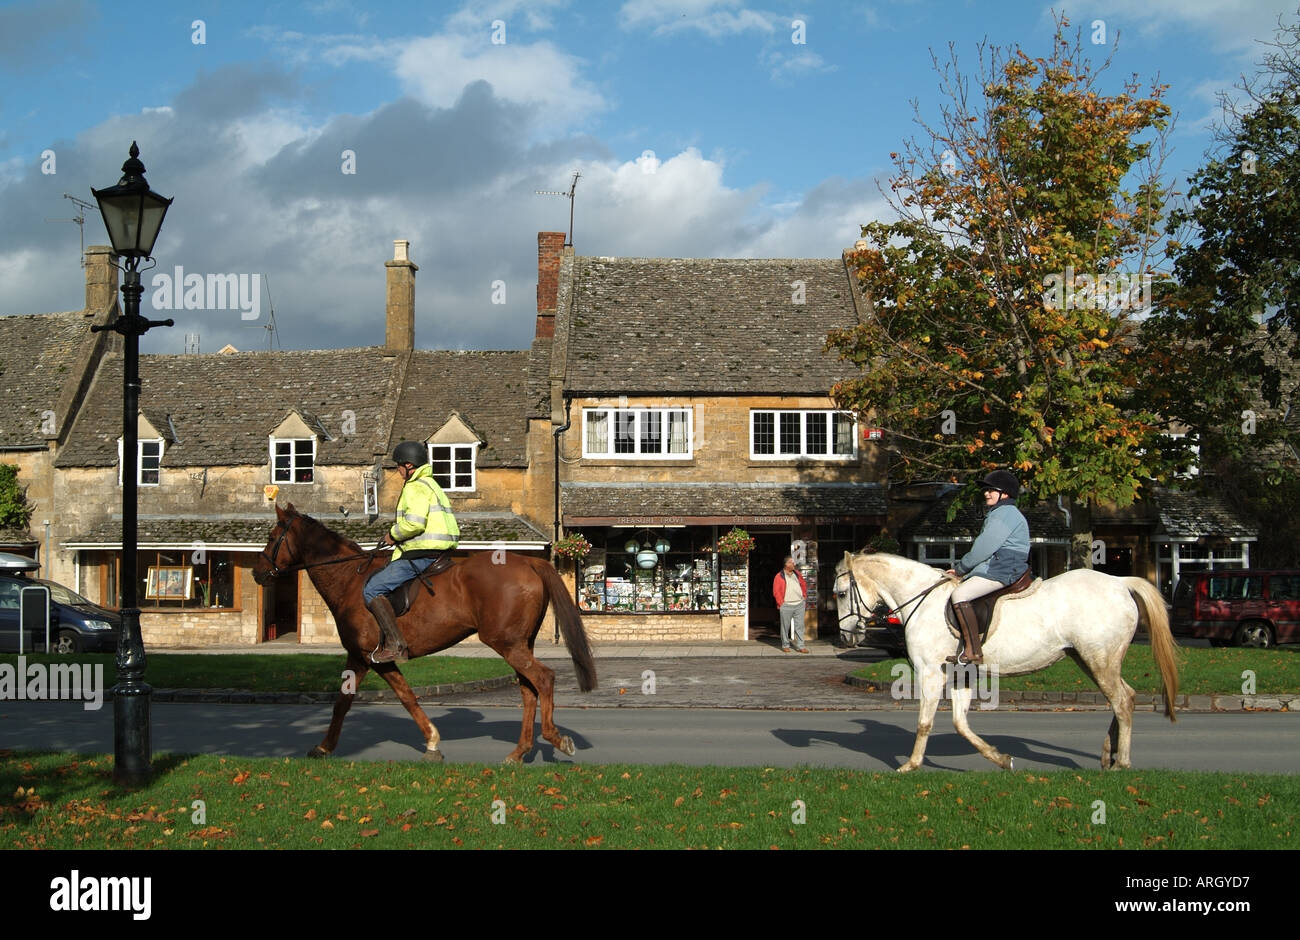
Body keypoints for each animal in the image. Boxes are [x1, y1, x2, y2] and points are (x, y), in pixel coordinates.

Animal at [251, 504, 597, 764]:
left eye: (272, 536)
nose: (257, 572)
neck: (349, 578)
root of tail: (527, 563)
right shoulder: (373, 659)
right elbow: (397, 697)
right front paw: (431, 741)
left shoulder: (365, 658)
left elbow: (351, 702)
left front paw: (324, 747)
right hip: (519, 644)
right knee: (528, 689)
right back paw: (519, 752)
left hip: (507, 644)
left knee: (544, 679)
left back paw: (554, 738)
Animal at [833, 551, 1179, 772]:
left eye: (840, 593)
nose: (846, 637)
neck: (923, 599)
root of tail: (1119, 583)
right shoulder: (959, 675)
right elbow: (961, 724)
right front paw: (1001, 759)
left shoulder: (930, 674)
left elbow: (924, 723)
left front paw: (911, 765)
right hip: (1089, 660)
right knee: (1125, 698)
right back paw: (1109, 756)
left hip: (1099, 659)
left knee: (1121, 701)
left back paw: (1123, 762)